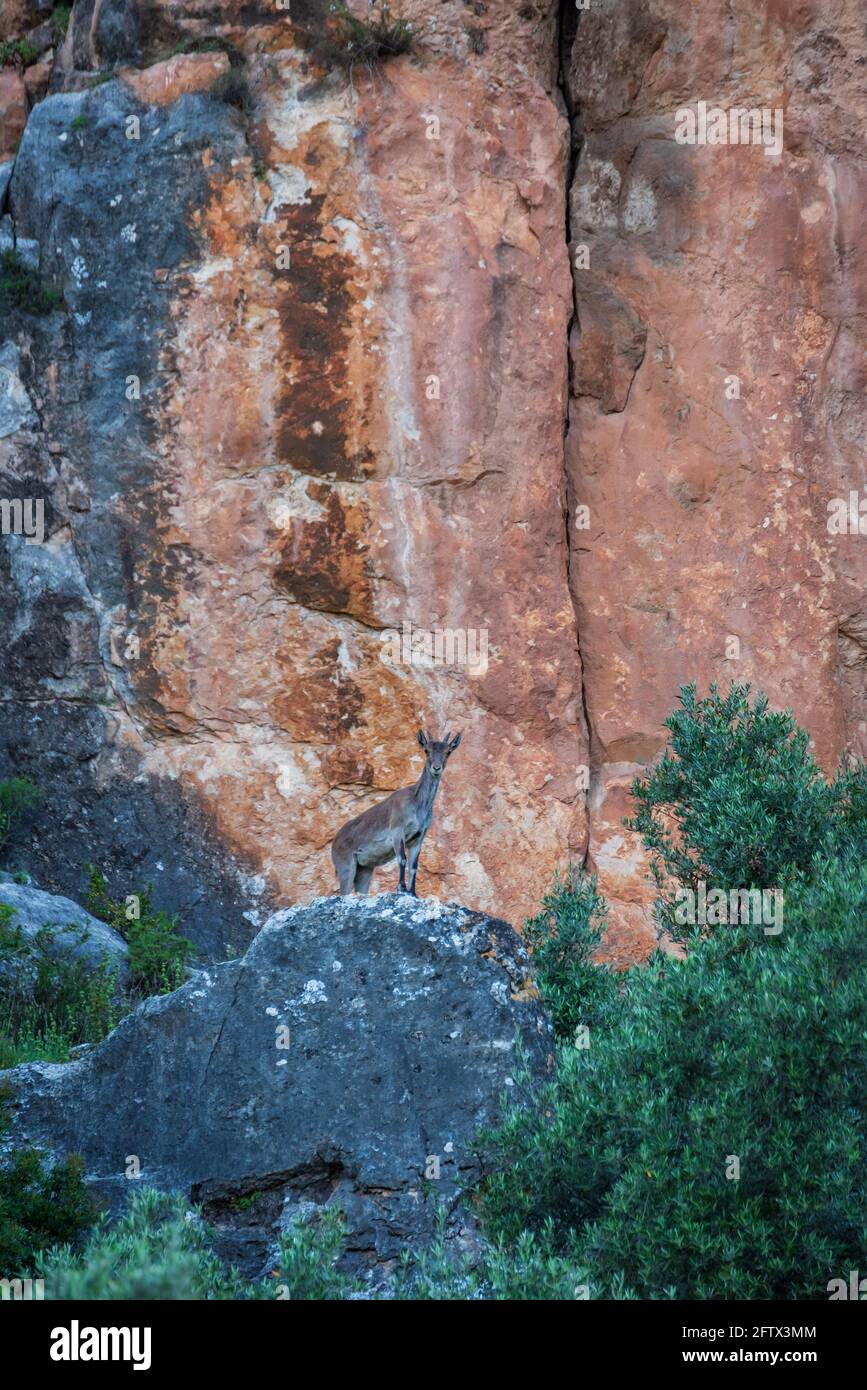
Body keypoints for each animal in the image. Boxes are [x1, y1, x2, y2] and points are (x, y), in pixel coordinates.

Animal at [331, 729, 461, 896]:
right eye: (426, 750)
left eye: (448, 751)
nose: (436, 768)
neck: (417, 803)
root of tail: (335, 843)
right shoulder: (397, 831)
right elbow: (402, 859)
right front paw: (402, 888)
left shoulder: (418, 839)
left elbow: (413, 866)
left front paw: (413, 892)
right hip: (346, 866)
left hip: (364, 870)